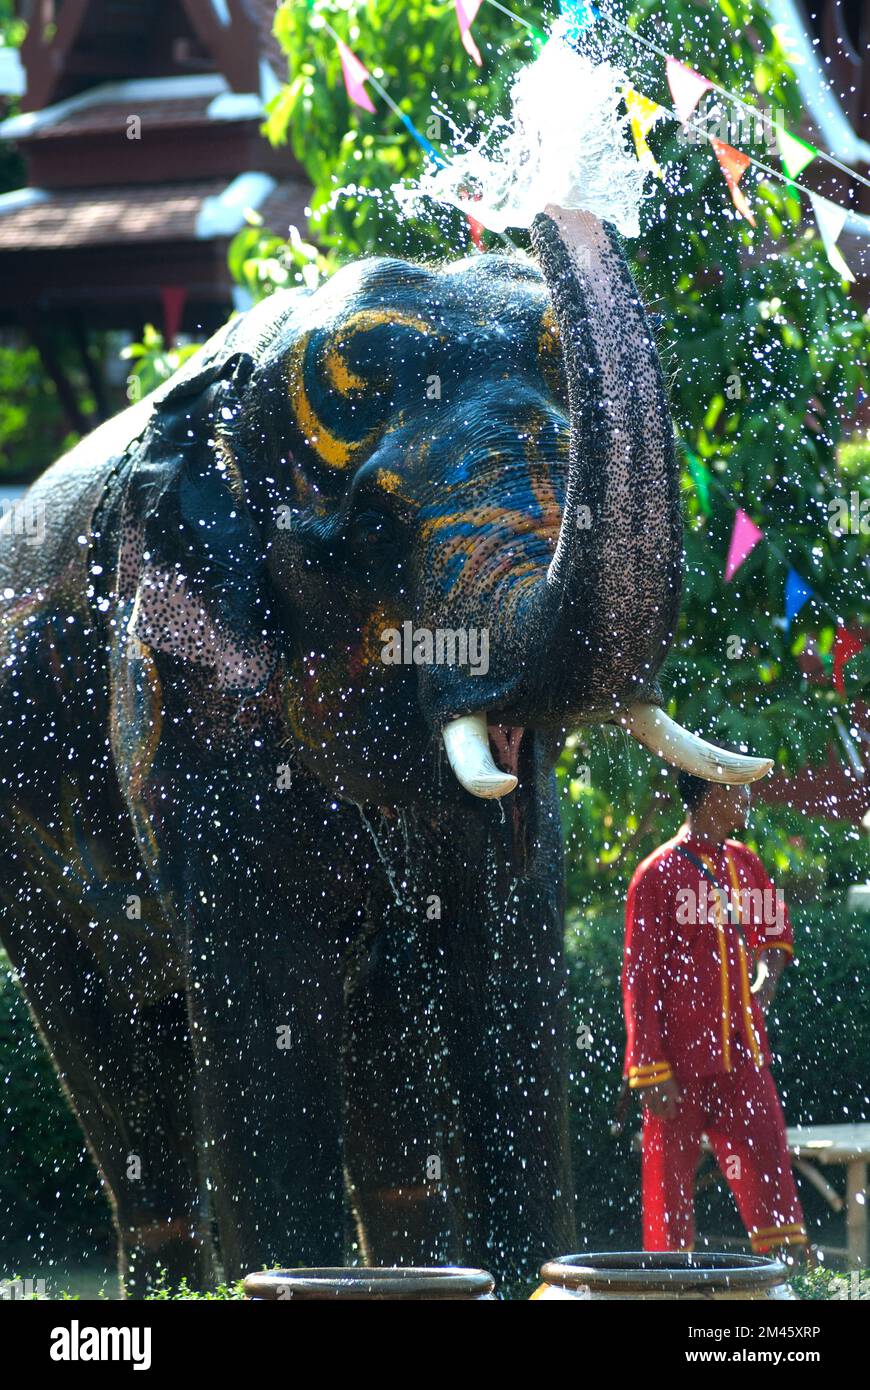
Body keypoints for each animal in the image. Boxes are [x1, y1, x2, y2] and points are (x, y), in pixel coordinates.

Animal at [0, 204, 771, 1295]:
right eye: (368, 526)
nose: (550, 213)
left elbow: (504, 955)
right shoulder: (174, 686)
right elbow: (264, 998)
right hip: (24, 848)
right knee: (103, 1038)